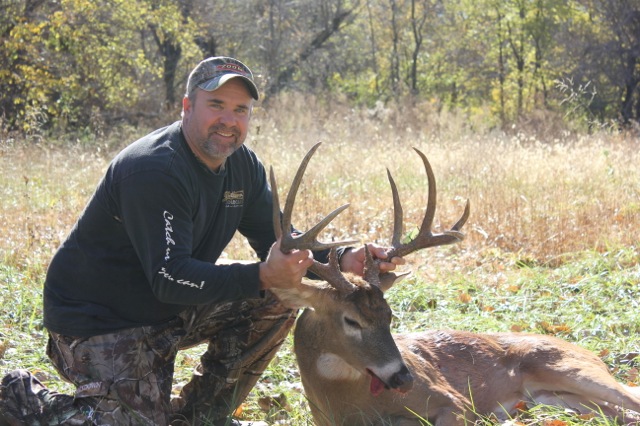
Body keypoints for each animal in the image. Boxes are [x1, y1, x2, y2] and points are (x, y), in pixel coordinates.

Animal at [268, 143, 640, 426]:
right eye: (351, 320)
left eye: (390, 316)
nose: (404, 378)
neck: (350, 403)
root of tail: (588, 351)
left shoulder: (456, 402)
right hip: (560, 399)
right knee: (617, 413)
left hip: (573, 369)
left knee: (629, 401)